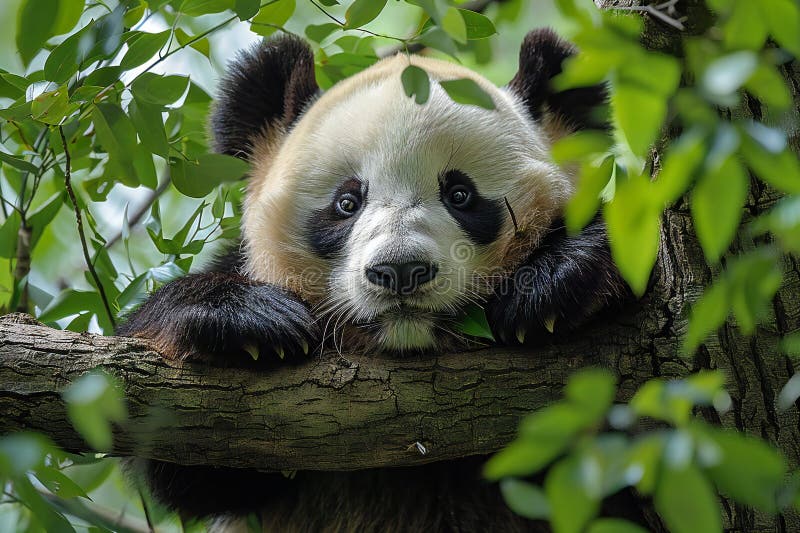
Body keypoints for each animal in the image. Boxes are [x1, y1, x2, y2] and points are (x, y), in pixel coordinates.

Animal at [119, 28, 629, 531]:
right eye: (347, 202)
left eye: (460, 194)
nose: (400, 270)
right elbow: (185, 458)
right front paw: (253, 322)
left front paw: (549, 285)